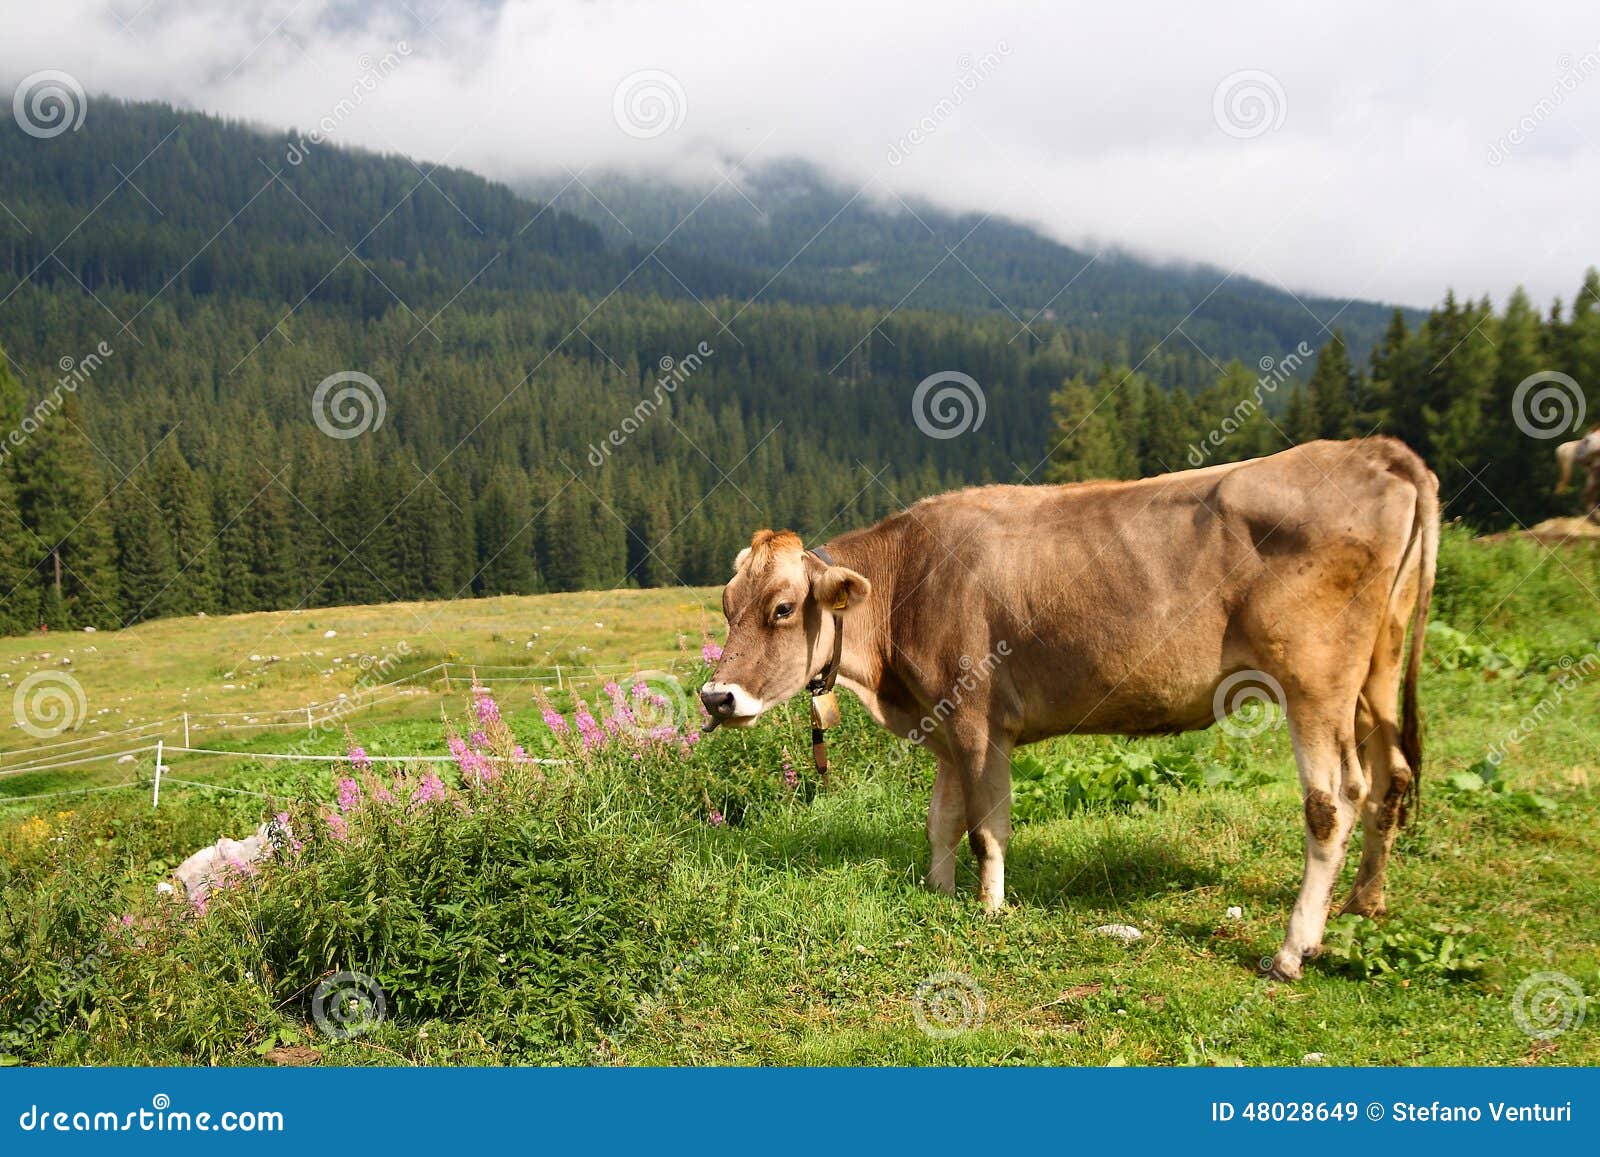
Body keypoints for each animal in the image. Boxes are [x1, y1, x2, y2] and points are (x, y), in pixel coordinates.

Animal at [700, 437, 1439, 980]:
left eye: (783, 609)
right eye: (728, 605)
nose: (715, 696)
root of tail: (1371, 449)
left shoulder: (978, 720)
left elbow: (985, 828)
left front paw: (989, 909)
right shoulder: (941, 720)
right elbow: (941, 822)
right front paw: (938, 893)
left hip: (1314, 679)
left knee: (1333, 800)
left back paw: (1293, 949)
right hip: (1375, 673)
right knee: (1390, 776)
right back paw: (1364, 902)